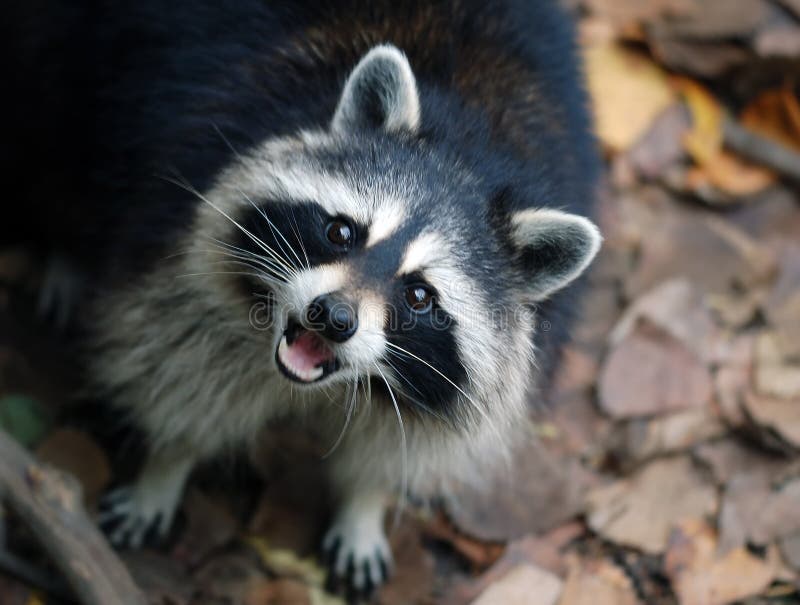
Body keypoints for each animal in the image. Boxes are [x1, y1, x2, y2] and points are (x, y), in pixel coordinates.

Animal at [5, 0, 601, 595]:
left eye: (419, 295)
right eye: (341, 231)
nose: (332, 316)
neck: (466, 147)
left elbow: (407, 439)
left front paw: (365, 503)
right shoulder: (184, 192)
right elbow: (178, 357)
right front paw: (167, 463)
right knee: (54, 127)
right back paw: (63, 248)